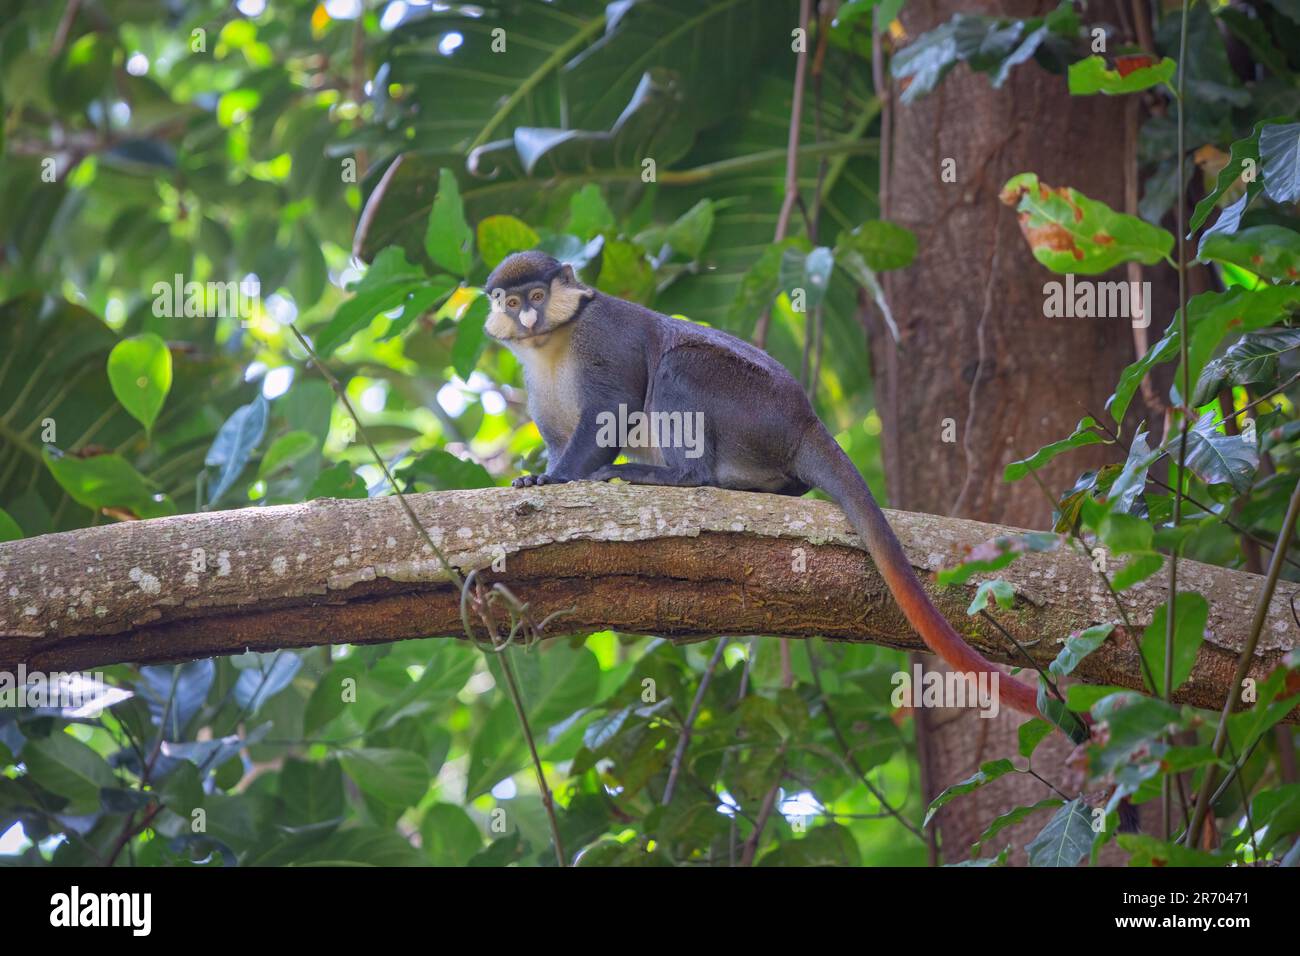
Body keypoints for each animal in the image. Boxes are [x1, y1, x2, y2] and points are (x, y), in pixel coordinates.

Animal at [484, 250, 1039, 718]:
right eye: (511, 302)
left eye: (537, 296)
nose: (527, 318)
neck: (554, 341)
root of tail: (804, 422)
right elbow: (563, 437)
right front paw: (543, 472)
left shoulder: (603, 335)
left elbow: (613, 407)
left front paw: (555, 478)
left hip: (749, 403)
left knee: (679, 365)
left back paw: (672, 474)